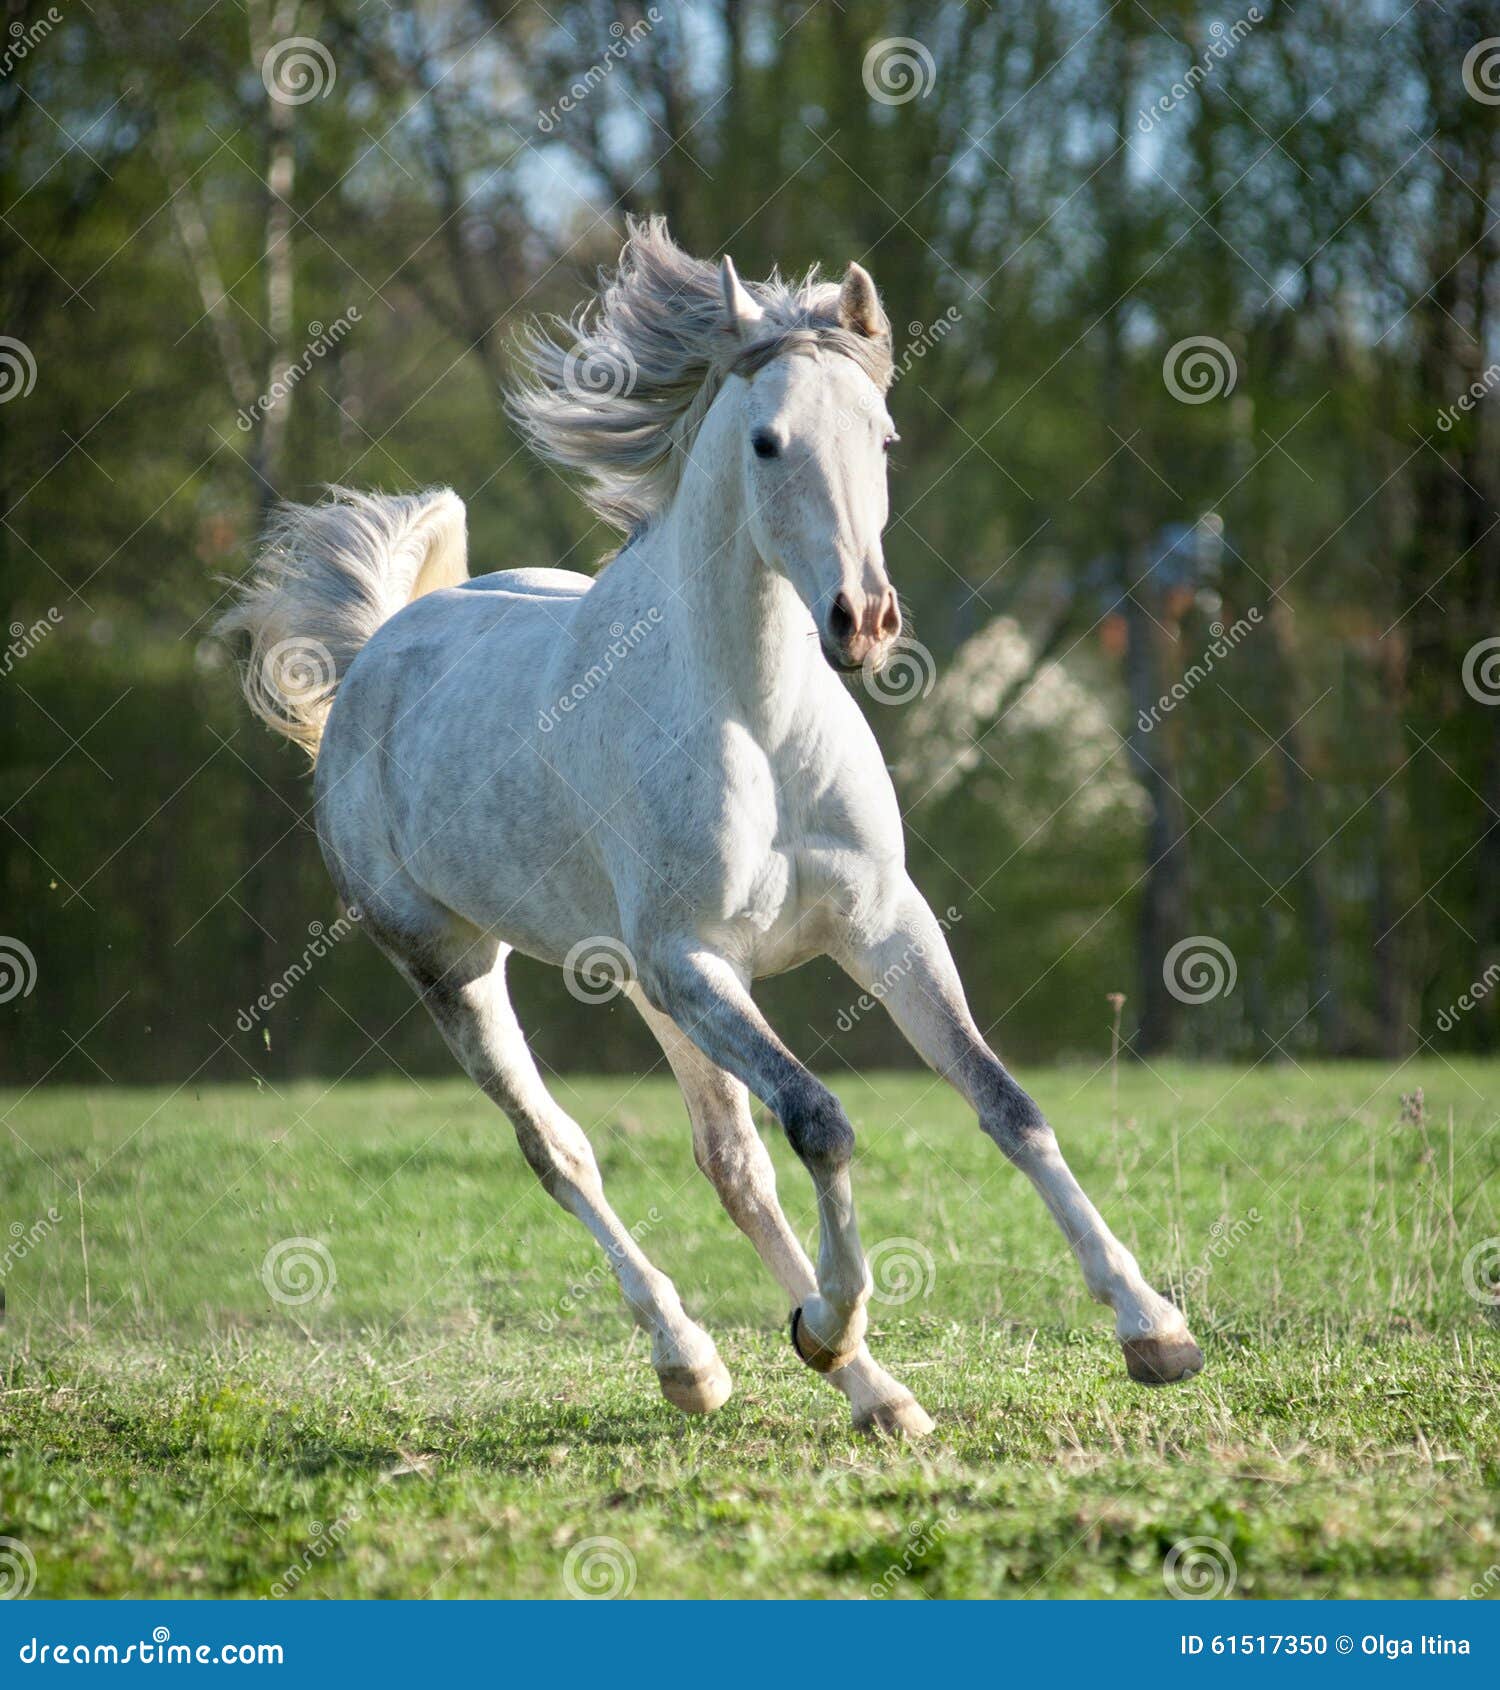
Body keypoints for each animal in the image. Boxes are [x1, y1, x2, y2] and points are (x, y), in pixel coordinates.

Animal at [218, 216, 1202, 1437]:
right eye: (769, 442)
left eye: (882, 434)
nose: (864, 621)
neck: (759, 722)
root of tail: (374, 653)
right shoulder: (695, 962)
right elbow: (822, 1120)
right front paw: (828, 1322)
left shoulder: (883, 926)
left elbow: (1003, 1104)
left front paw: (1153, 1329)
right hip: (459, 967)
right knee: (561, 1151)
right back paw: (696, 1359)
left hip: (639, 979)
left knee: (728, 1160)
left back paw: (877, 1395)